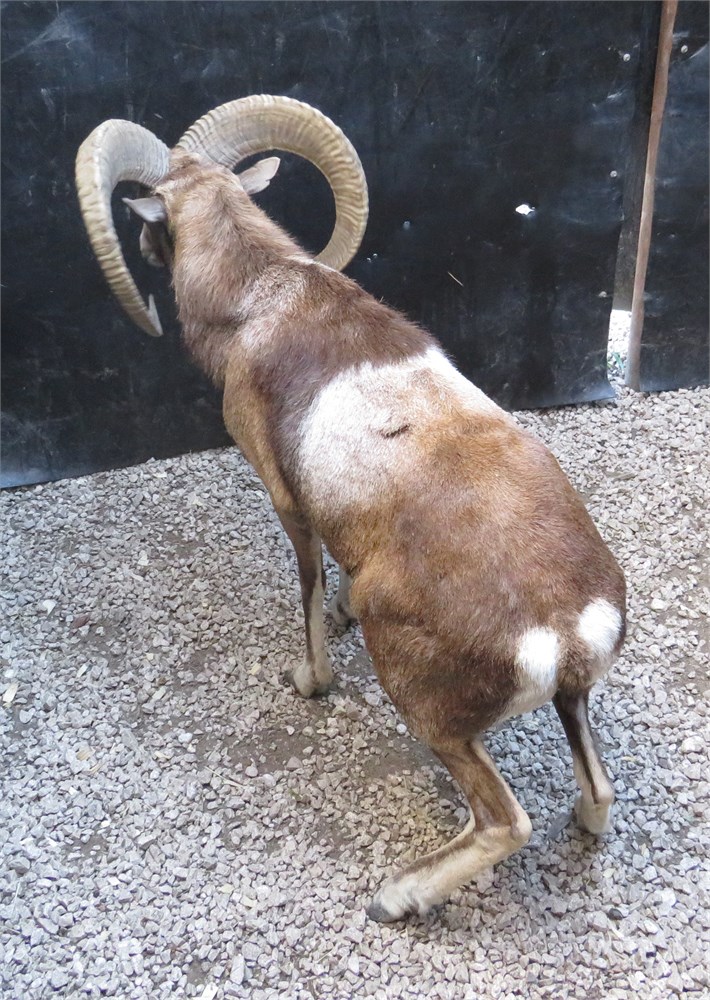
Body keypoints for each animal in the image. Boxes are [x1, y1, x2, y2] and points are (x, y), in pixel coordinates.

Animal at [76, 95, 626, 922]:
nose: (144, 247)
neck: (261, 301)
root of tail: (559, 631)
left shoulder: (287, 504)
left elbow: (306, 586)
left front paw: (311, 678)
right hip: (572, 700)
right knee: (598, 793)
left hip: (430, 713)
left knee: (504, 822)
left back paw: (397, 896)